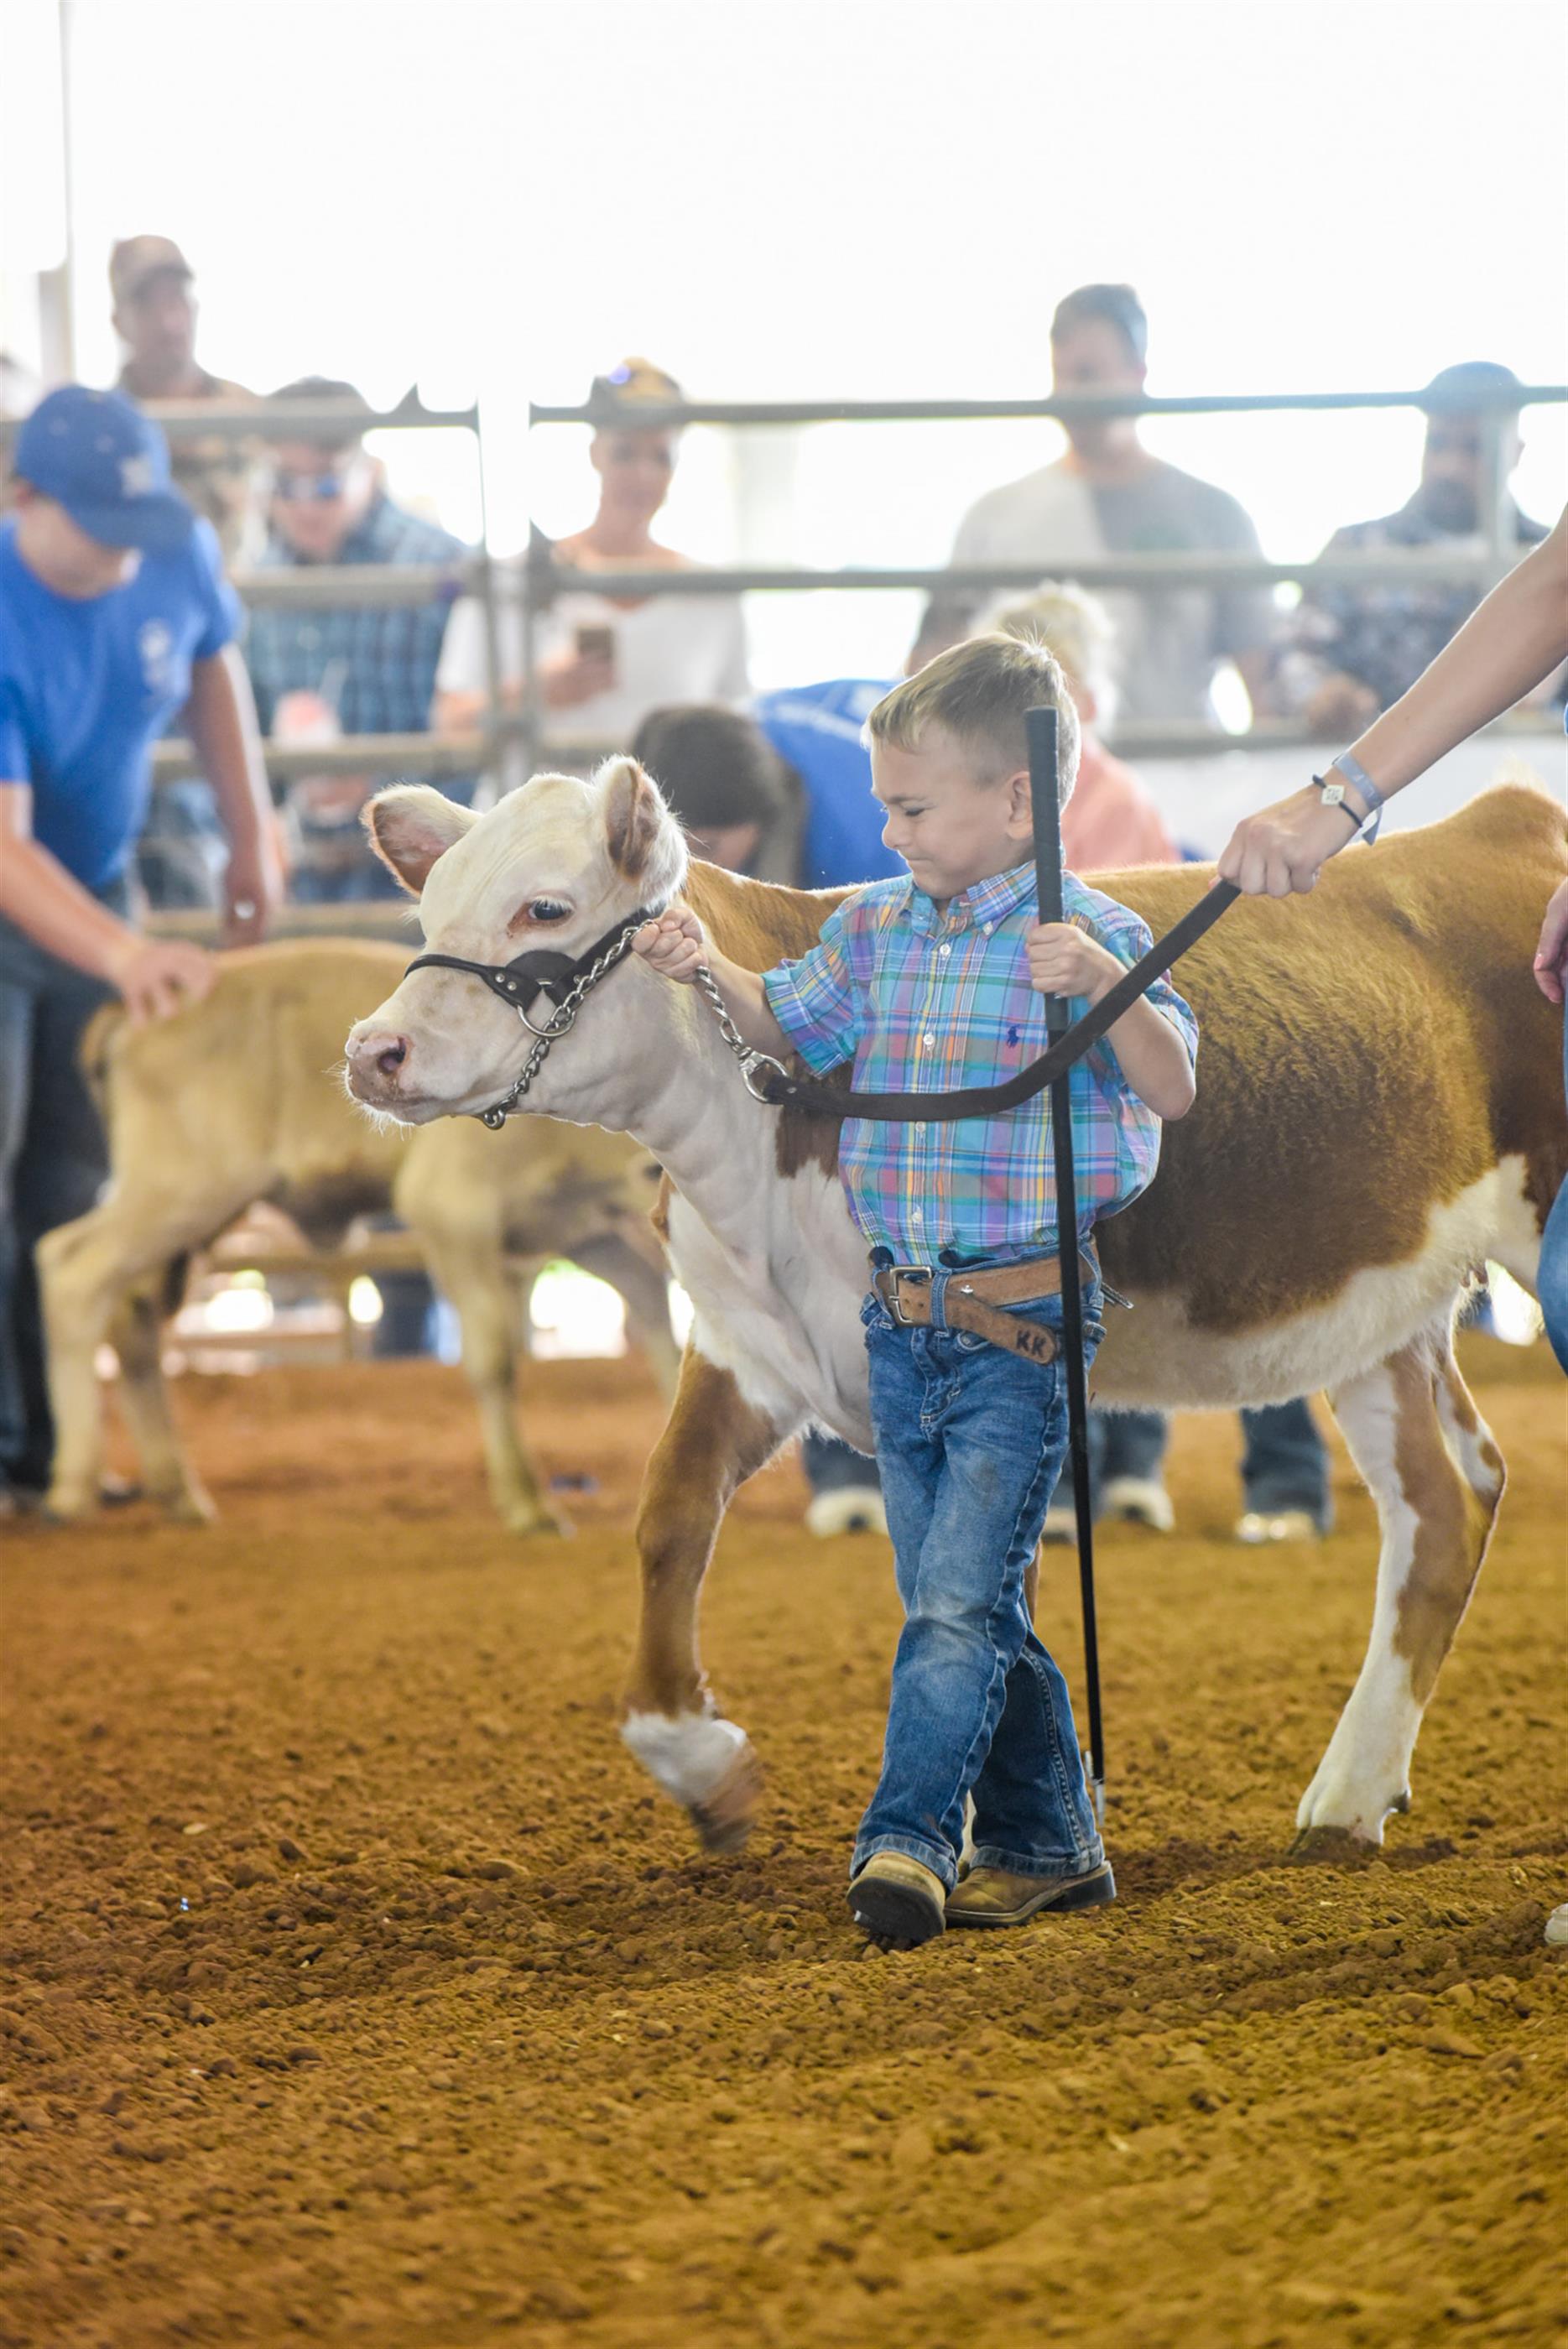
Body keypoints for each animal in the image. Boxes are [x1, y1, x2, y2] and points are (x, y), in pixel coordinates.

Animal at [38, 940, 679, 1537]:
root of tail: (136, 1009)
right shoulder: (452, 1213)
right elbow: (494, 1357)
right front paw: (526, 1502)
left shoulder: (584, 1231)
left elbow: (659, 1321)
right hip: (181, 1190)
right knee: (70, 1269)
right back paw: (73, 1485)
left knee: (132, 1311)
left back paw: (178, 1492)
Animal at [342, 760, 1566, 1917]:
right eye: (429, 910)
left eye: (544, 906)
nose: (373, 1050)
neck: (751, 1142)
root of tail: (1503, 819)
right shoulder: (751, 1343)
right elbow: (670, 1516)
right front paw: (702, 1763)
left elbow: (965, 1583)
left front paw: (955, 1844)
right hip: (1384, 1304)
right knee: (1445, 1501)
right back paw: (1348, 1801)